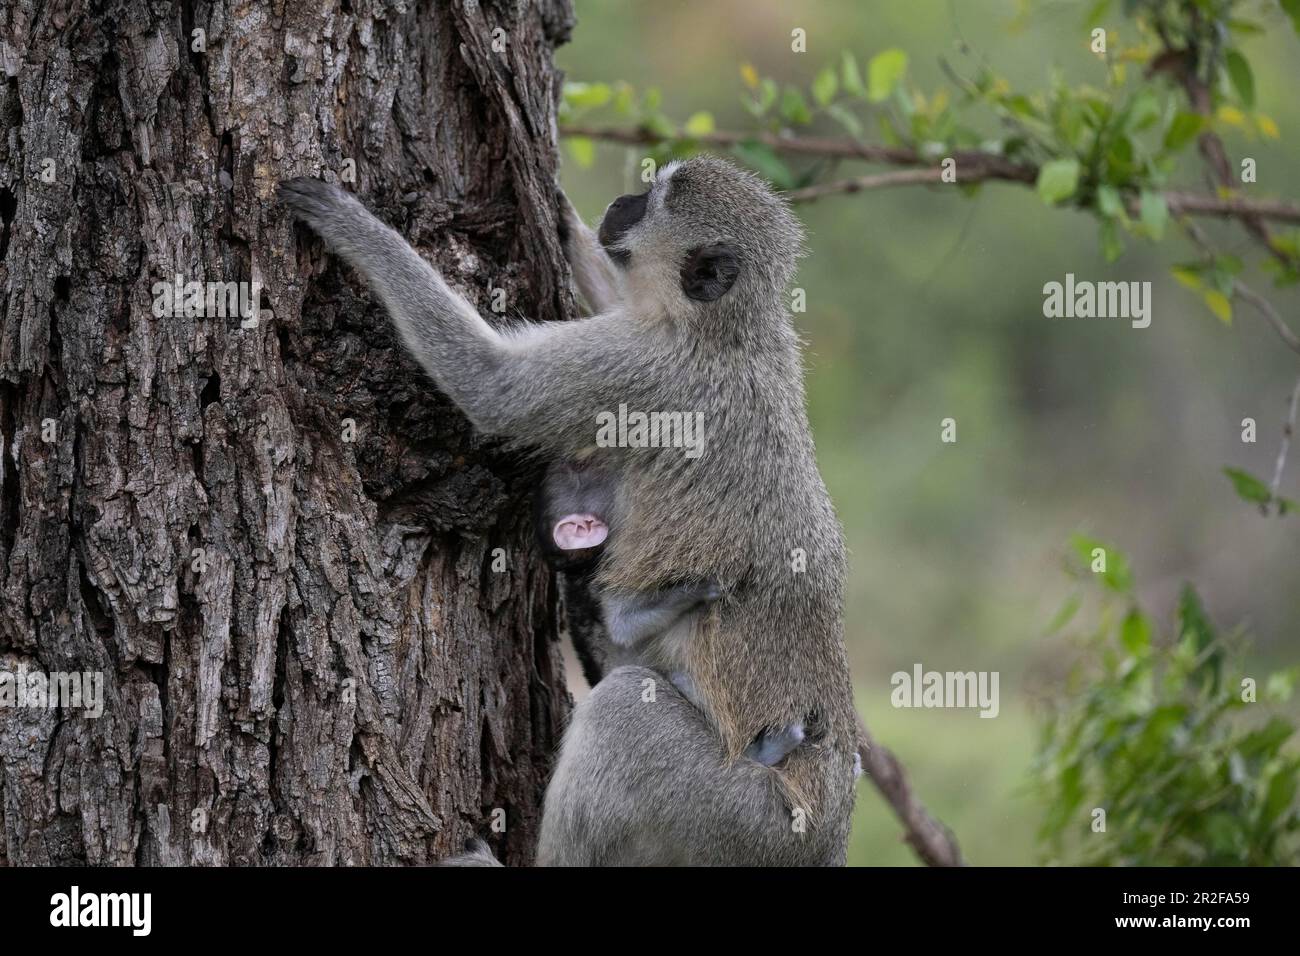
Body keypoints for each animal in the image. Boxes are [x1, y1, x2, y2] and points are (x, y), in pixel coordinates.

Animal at [280, 155, 859, 865]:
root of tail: (827, 835)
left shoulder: (637, 372)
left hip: (742, 824)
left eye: (651, 202)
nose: (619, 202)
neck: (726, 328)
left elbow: (493, 385)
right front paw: (557, 204)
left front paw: (350, 225)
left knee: (624, 715)